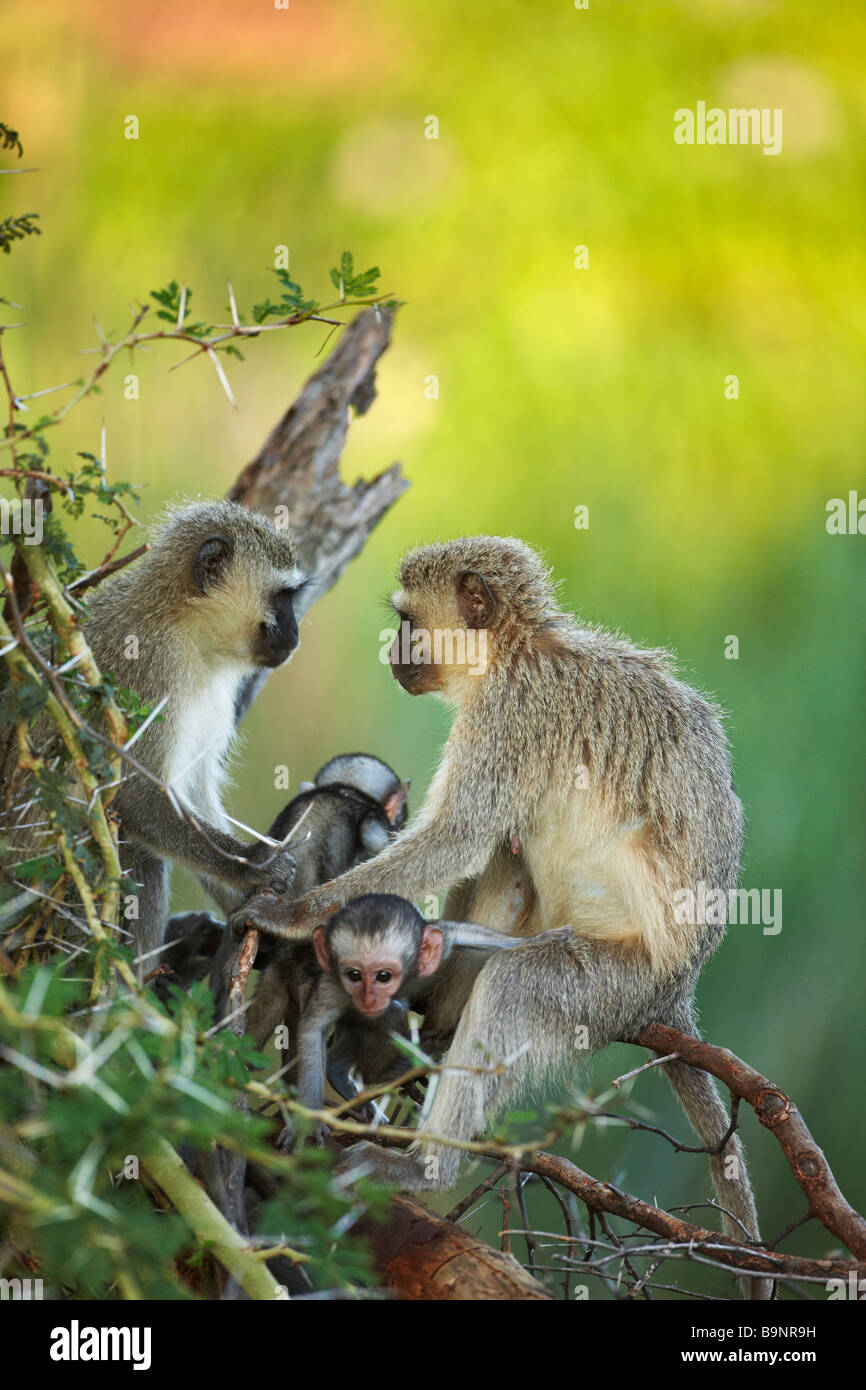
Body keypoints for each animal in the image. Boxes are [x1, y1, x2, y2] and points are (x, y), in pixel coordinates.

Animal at [0, 501, 301, 975]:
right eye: (281, 599)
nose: (295, 633)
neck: (189, 630)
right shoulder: (152, 669)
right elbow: (136, 794)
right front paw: (251, 865)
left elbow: (195, 795)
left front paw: (256, 917)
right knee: (137, 858)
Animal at [233, 535, 770, 1298]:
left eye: (408, 621)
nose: (392, 653)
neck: (518, 649)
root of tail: (676, 989)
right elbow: (479, 848)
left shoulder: (507, 716)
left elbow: (454, 837)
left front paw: (290, 915)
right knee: (510, 854)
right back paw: (430, 1017)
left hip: (612, 985)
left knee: (518, 981)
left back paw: (424, 1166)